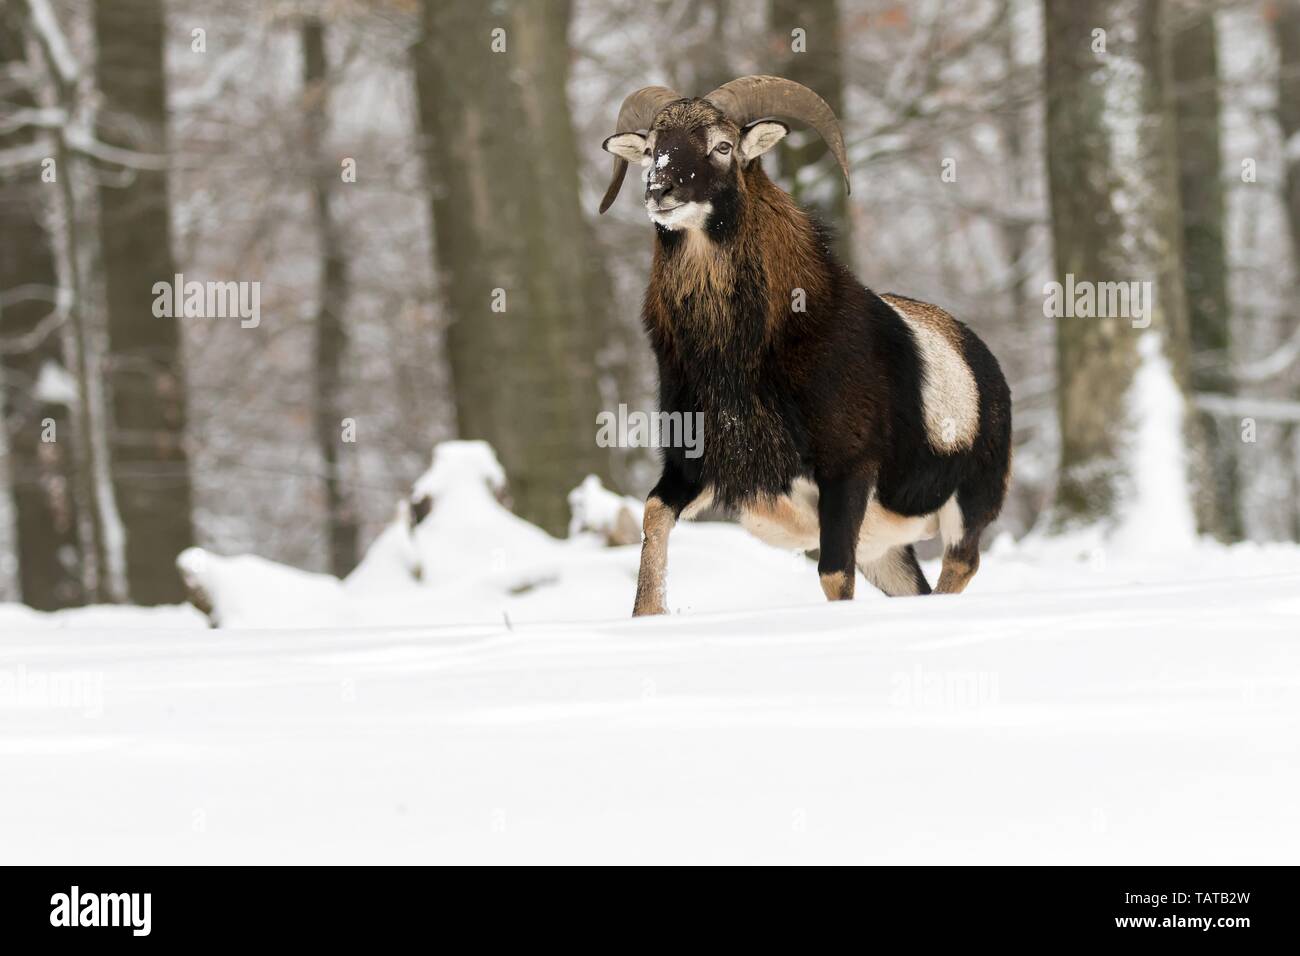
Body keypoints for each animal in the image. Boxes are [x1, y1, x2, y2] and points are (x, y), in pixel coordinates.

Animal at [599, 76, 1012, 616]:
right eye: (650, 149)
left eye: (723, 146)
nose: (659, 191)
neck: (739, 356)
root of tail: (986, 369)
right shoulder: (695, 470)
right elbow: (652, 521)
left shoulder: (846, 475)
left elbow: (834, 576)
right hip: (886, 553)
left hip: (966, 513)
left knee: (957, 570)